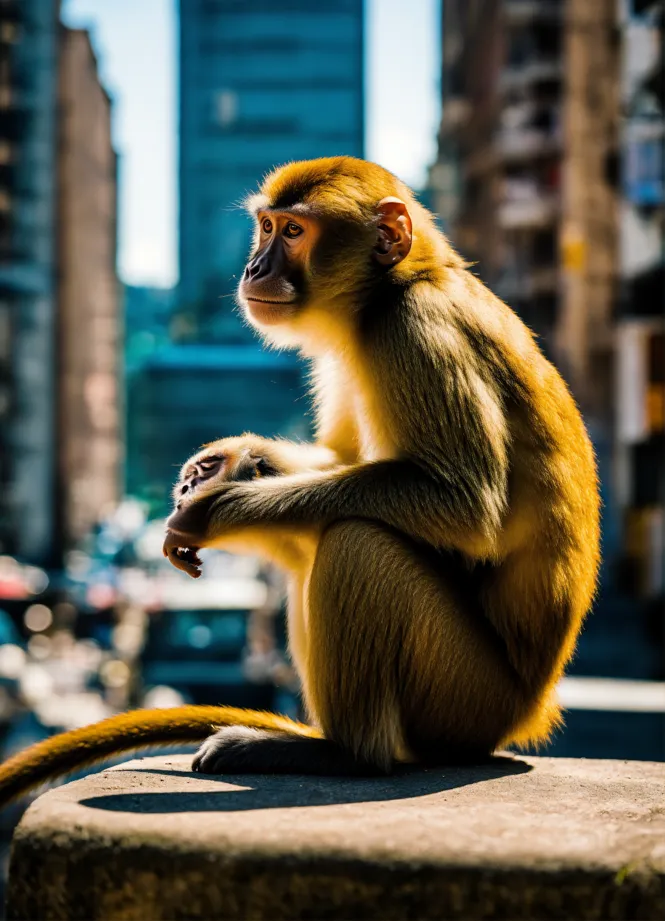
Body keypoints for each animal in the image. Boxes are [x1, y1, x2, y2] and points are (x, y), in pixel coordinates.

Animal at [0, 156, 600, 806]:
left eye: (293, 233)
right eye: (266, 226)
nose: (254, 267)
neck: (394, 287)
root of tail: (529, 712)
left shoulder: (415, 331)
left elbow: (466, 504)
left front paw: (217, 507)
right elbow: (341, 456)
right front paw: (230, 461)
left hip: (466, 697)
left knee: (358, 541)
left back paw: (345, 753)